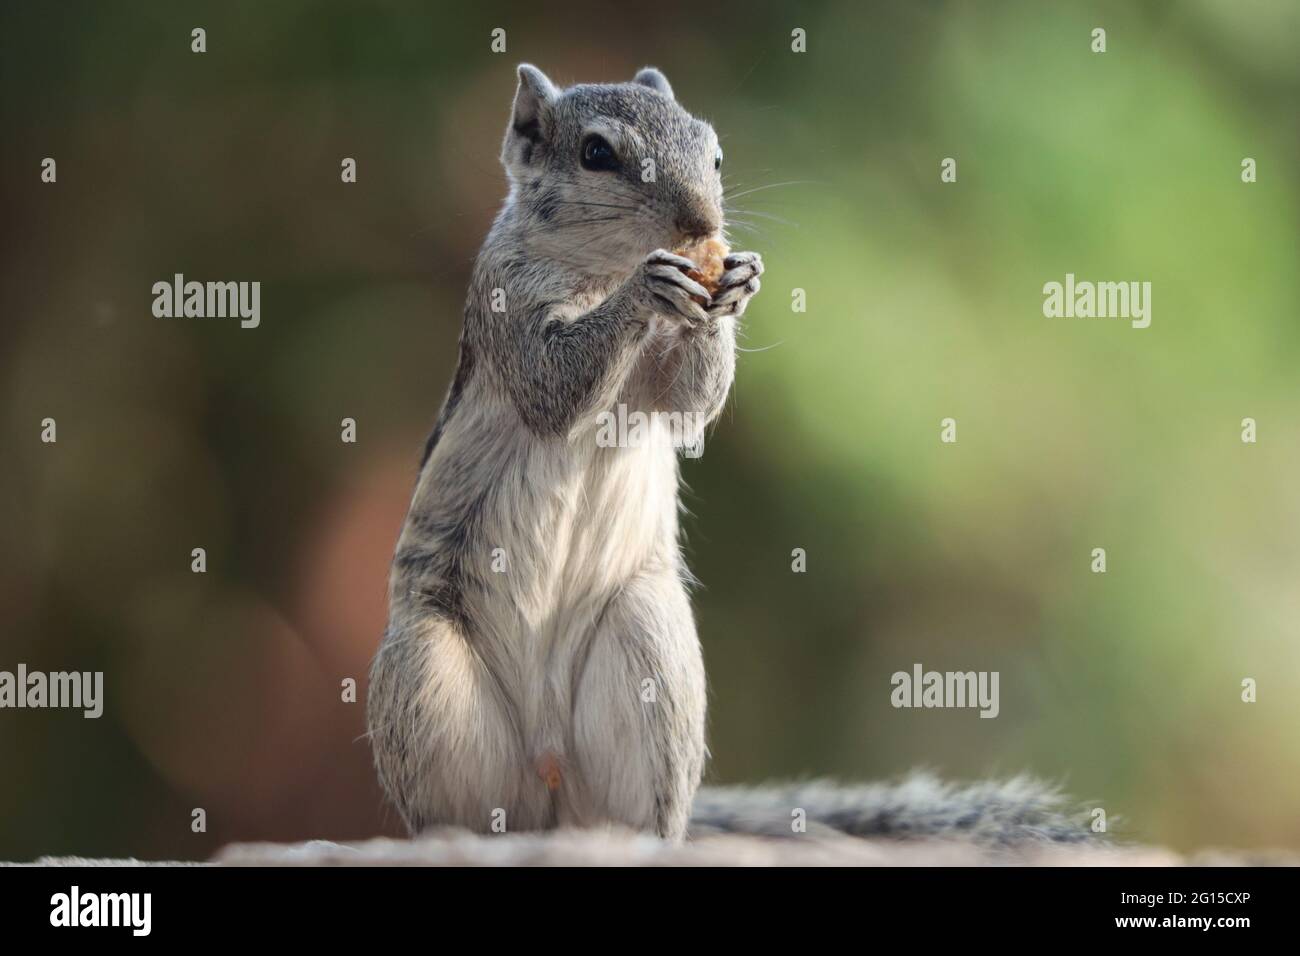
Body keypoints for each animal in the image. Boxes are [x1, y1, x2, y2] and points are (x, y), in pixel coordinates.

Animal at [366, 64, 1096, 848]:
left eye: (715, 156)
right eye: (596, 154)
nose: (701, 227)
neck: (601, 270)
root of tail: (550, 778)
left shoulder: (660, 386)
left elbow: (689, 405)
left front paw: (736, 286)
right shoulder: (506, 303)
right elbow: (552, 385)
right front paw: (648, 287)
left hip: (649, 646)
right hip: (427, 674)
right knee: (462, 808)